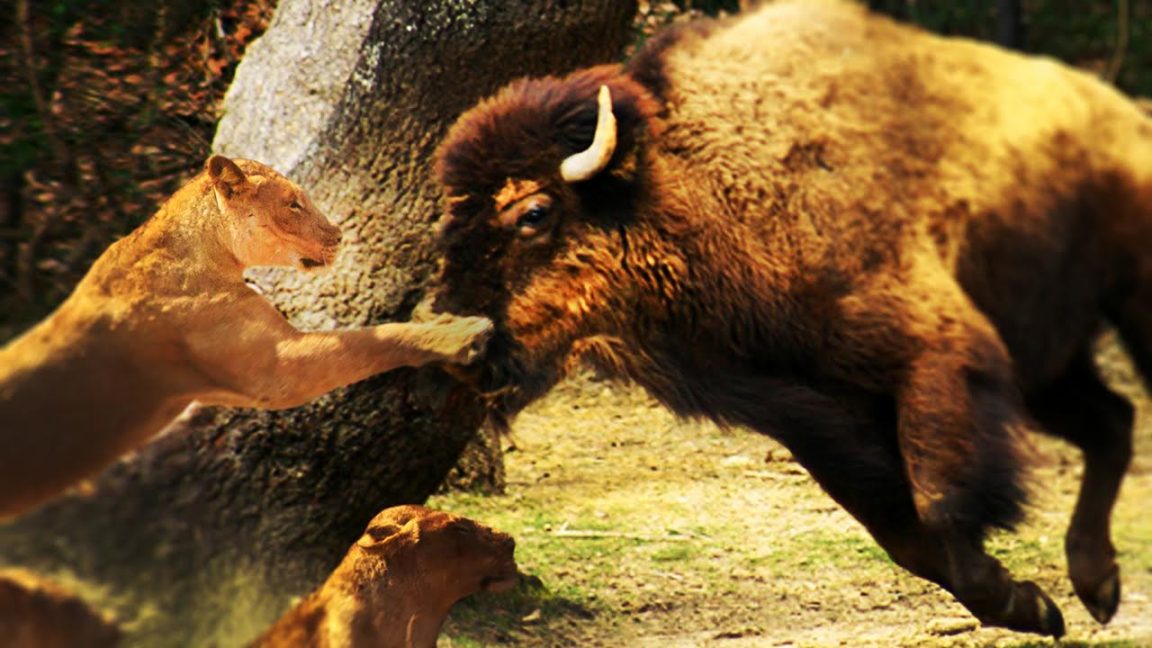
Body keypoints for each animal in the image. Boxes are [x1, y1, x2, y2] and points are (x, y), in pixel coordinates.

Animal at [0, 155, 492, 519]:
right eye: (293, 204)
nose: (338, 236)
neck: (214, 255)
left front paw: (441, 314)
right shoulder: (279, 368)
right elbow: (376, 337)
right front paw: (465, 332)